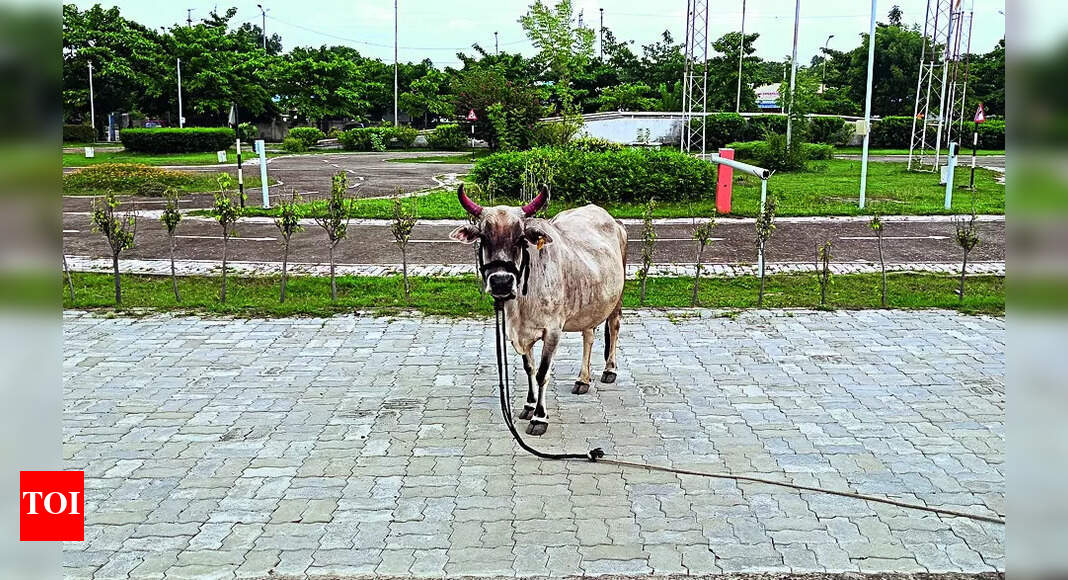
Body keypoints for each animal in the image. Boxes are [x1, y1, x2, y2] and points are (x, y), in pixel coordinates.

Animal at [450, 184, 627, 436]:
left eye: (521, 238)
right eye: (484, 237)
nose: (502, 282)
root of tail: (613, 221)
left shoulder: (552, 331)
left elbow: (543, 373)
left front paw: (539, 417)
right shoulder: (520, 332)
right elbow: (530, 369)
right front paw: (529, 405)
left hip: (617, 297)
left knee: (614, 325)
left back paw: (609, 370)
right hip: (590, 303)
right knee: (589, 336)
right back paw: (583, 380)